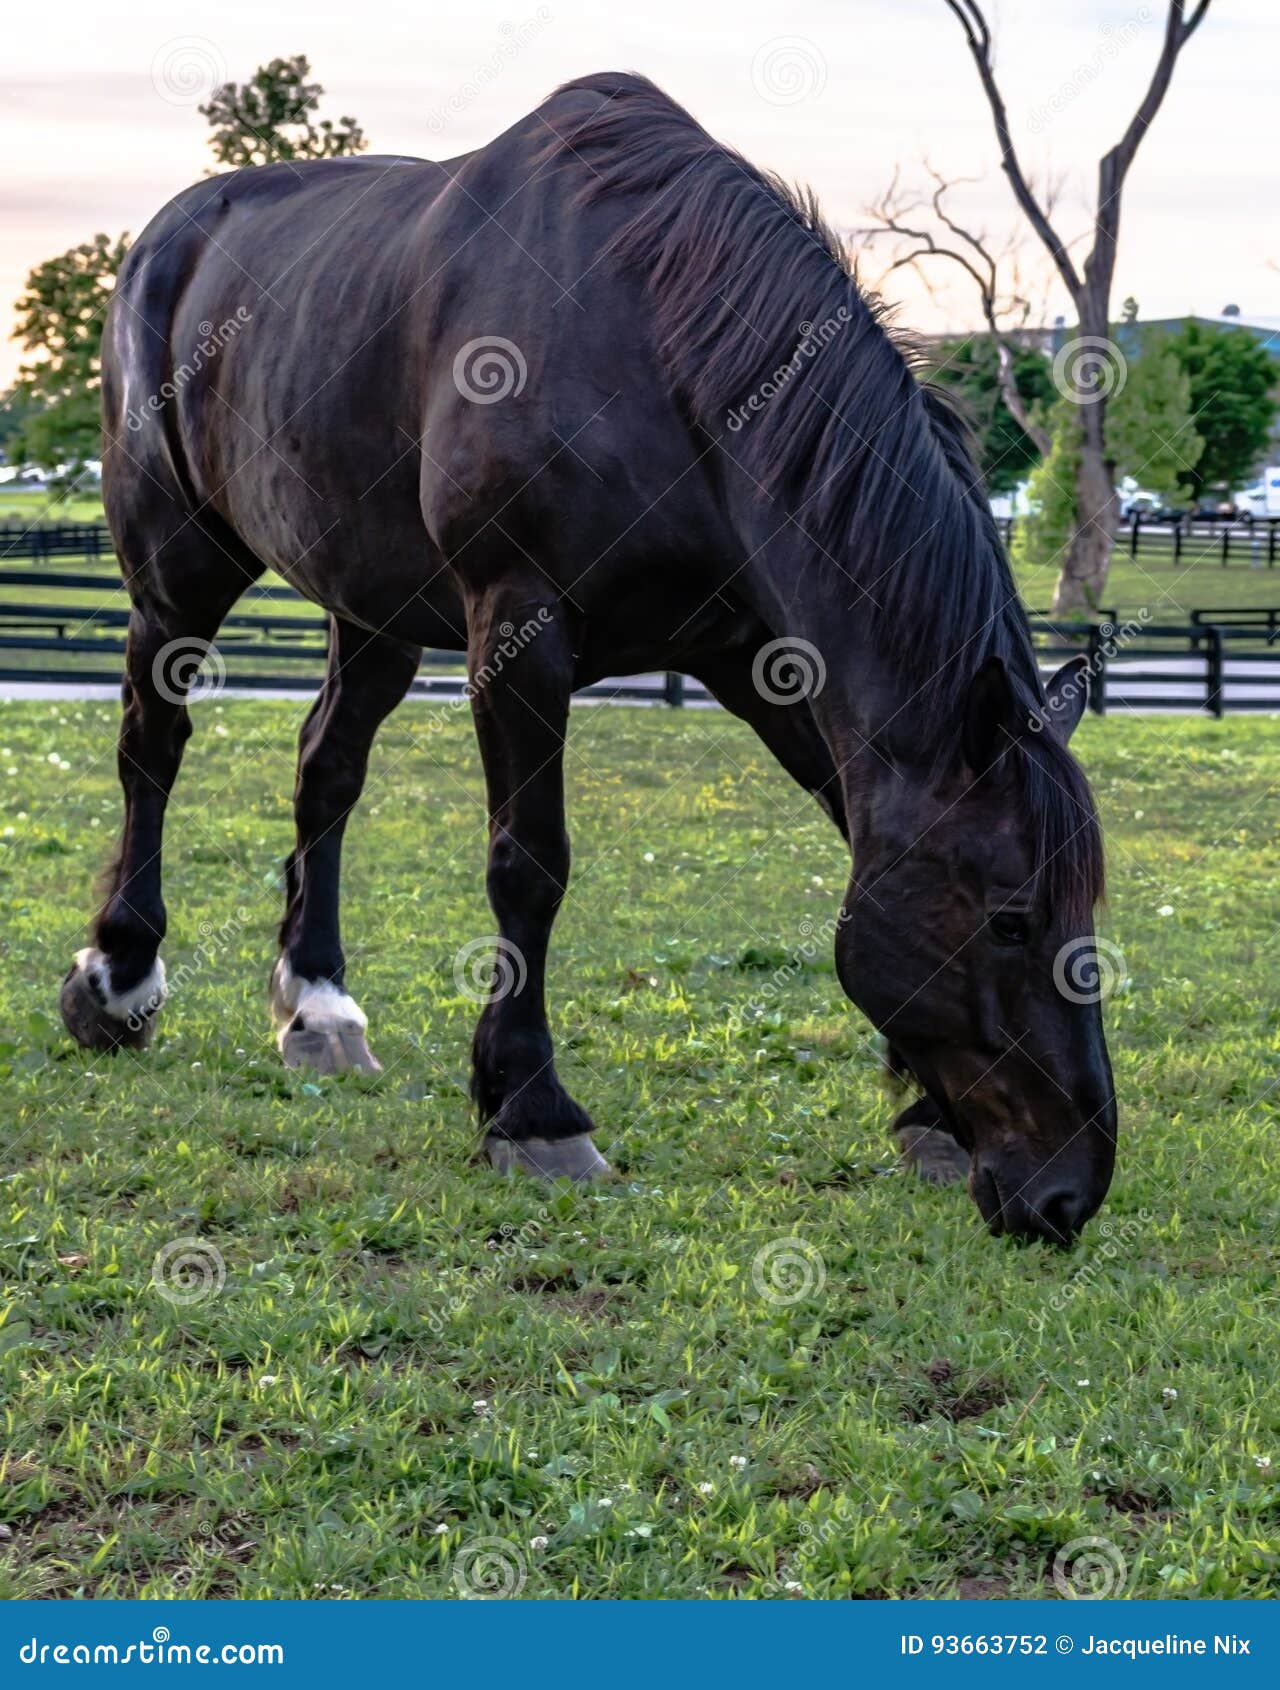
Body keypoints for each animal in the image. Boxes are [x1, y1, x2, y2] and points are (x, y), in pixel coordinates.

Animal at [60, 71, 1116, 1242]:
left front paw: (927, 1114)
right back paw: (117, 976)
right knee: (152, 748)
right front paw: (530, 1108)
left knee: (324, 769)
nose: (1066, 1190)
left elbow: (860, 831)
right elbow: (530, 865)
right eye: (1010, 921)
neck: (659, 354)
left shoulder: (755, 657)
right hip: (177, 572)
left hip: (371, 606)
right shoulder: (519, 627)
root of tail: (163, 240)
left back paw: (319, 1005)